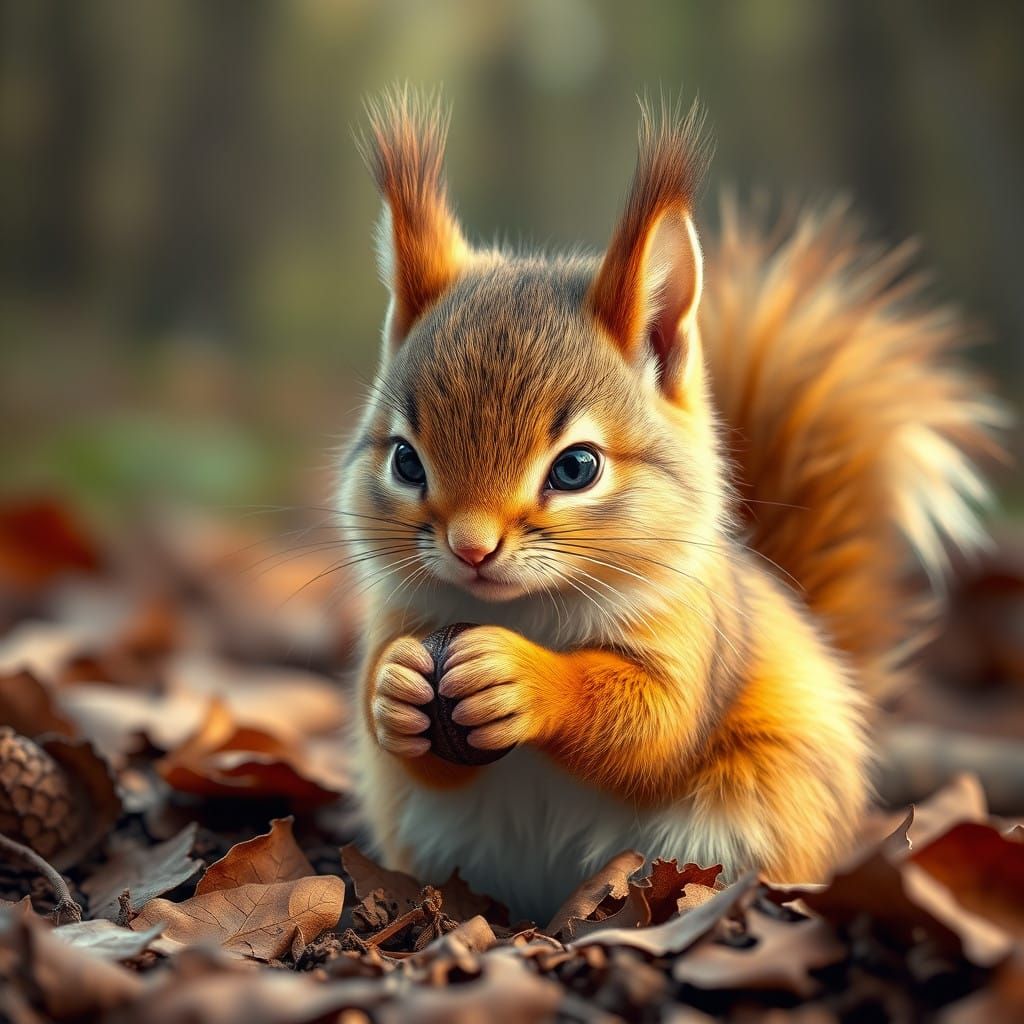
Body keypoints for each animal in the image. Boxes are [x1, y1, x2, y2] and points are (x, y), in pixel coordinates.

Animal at [337, 88, 1002, 922]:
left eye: (578, 467)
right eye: (403, 459)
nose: (470, 548)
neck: (524, 610)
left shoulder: (691, 637)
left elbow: (655, 723)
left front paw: (522, 679)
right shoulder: (398, 615)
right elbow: (409, 741)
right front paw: (393, 687)